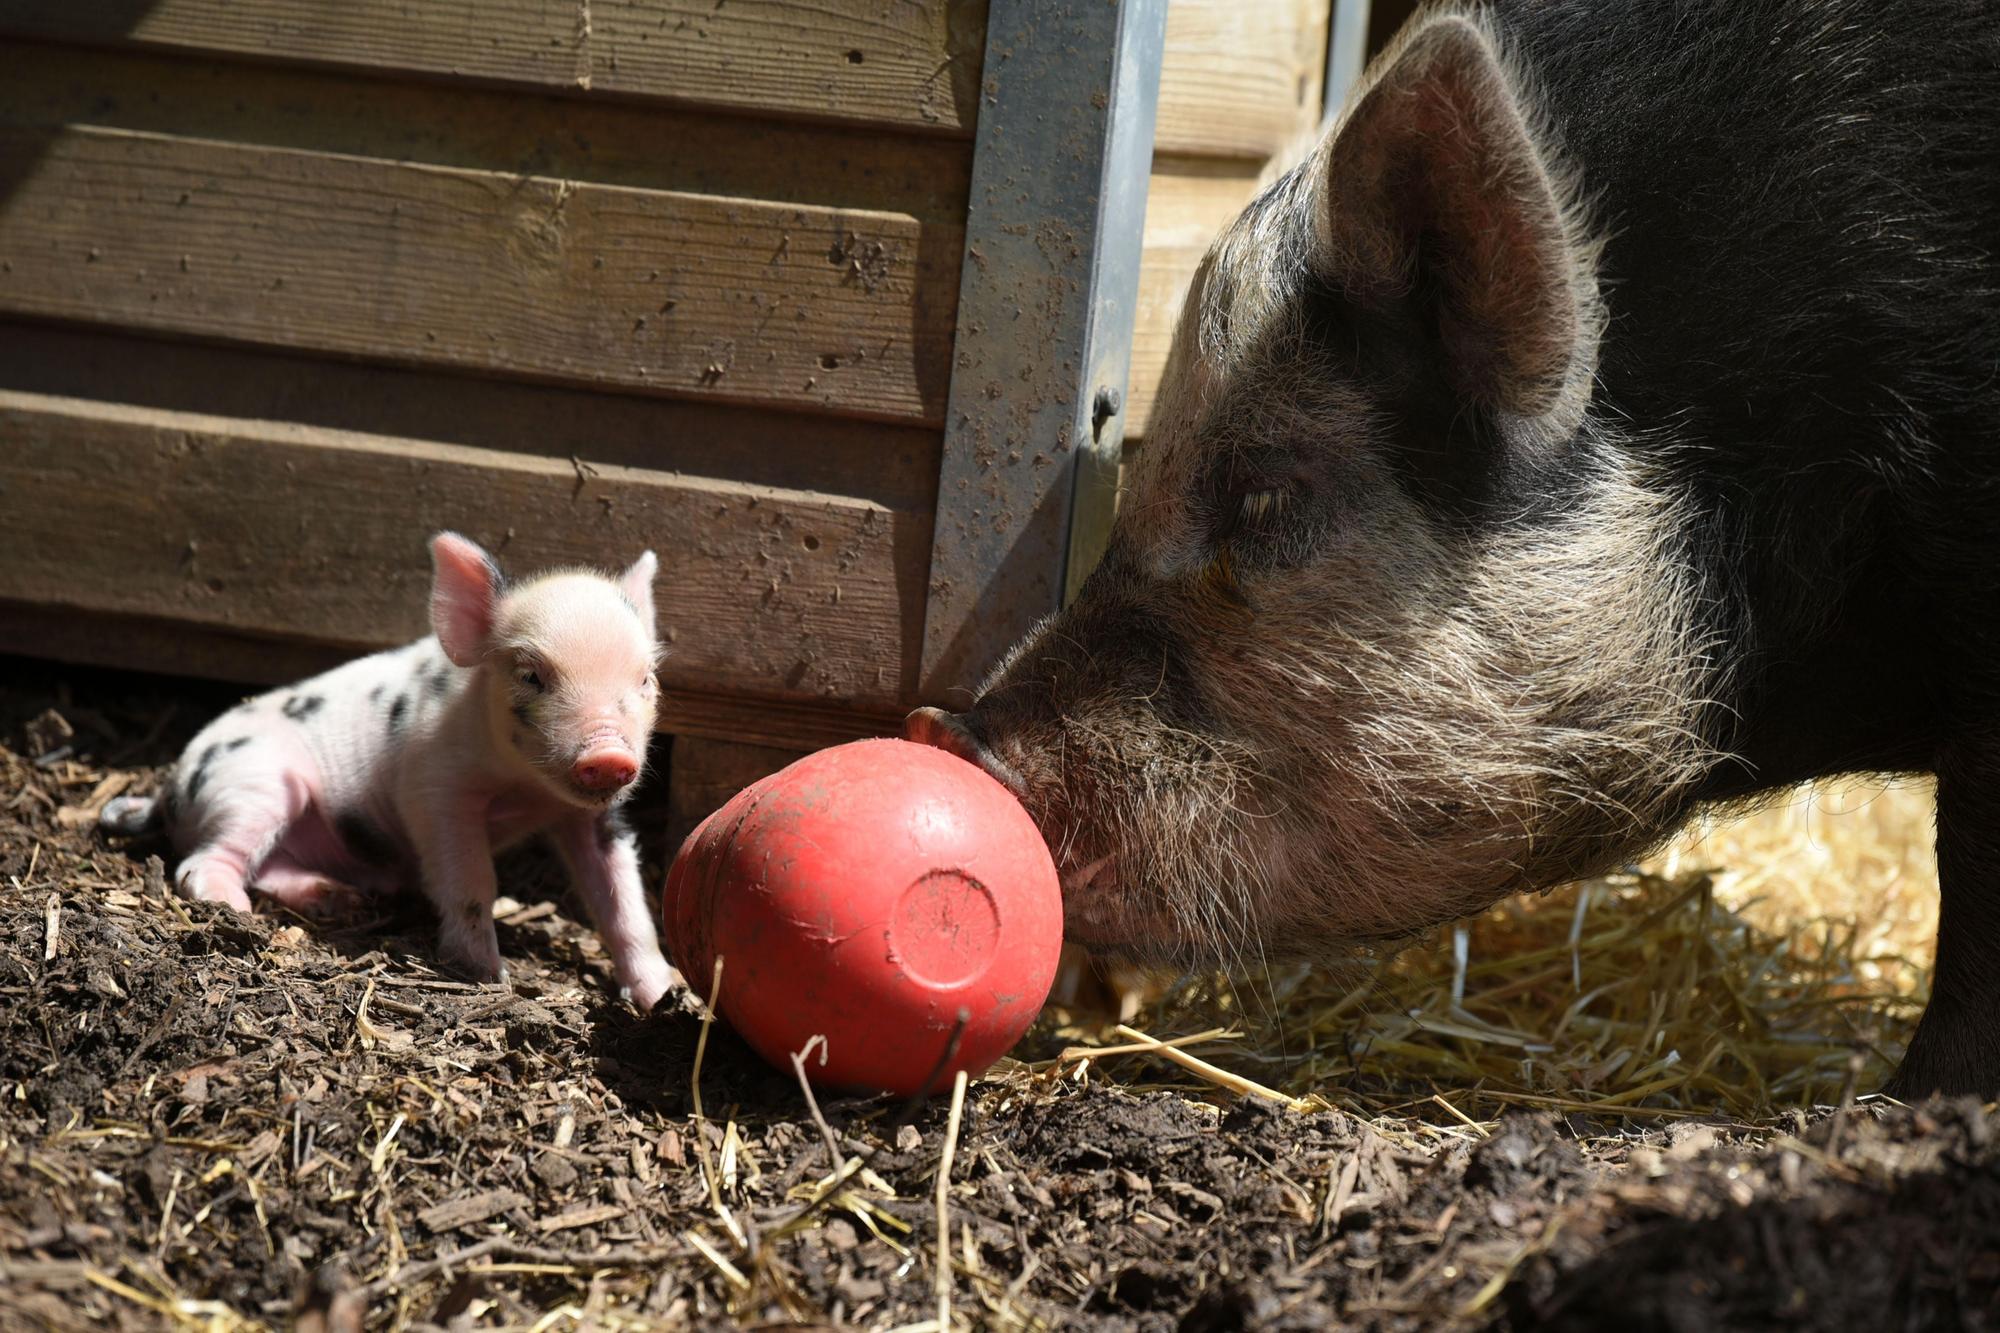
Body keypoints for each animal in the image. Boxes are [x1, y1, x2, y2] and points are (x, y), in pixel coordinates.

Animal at [101, 532, 679, 1009]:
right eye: (530, 675)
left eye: (645, 678)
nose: (609, 755)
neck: (525, 788)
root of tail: (169, 790)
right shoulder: (434, 787)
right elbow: (470, 879)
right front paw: (488, 975)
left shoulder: (597, 818)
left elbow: (625, 900)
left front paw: (663, 996)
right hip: (254, 785)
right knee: (201, 866)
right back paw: (235, 905)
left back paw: (344, 899)